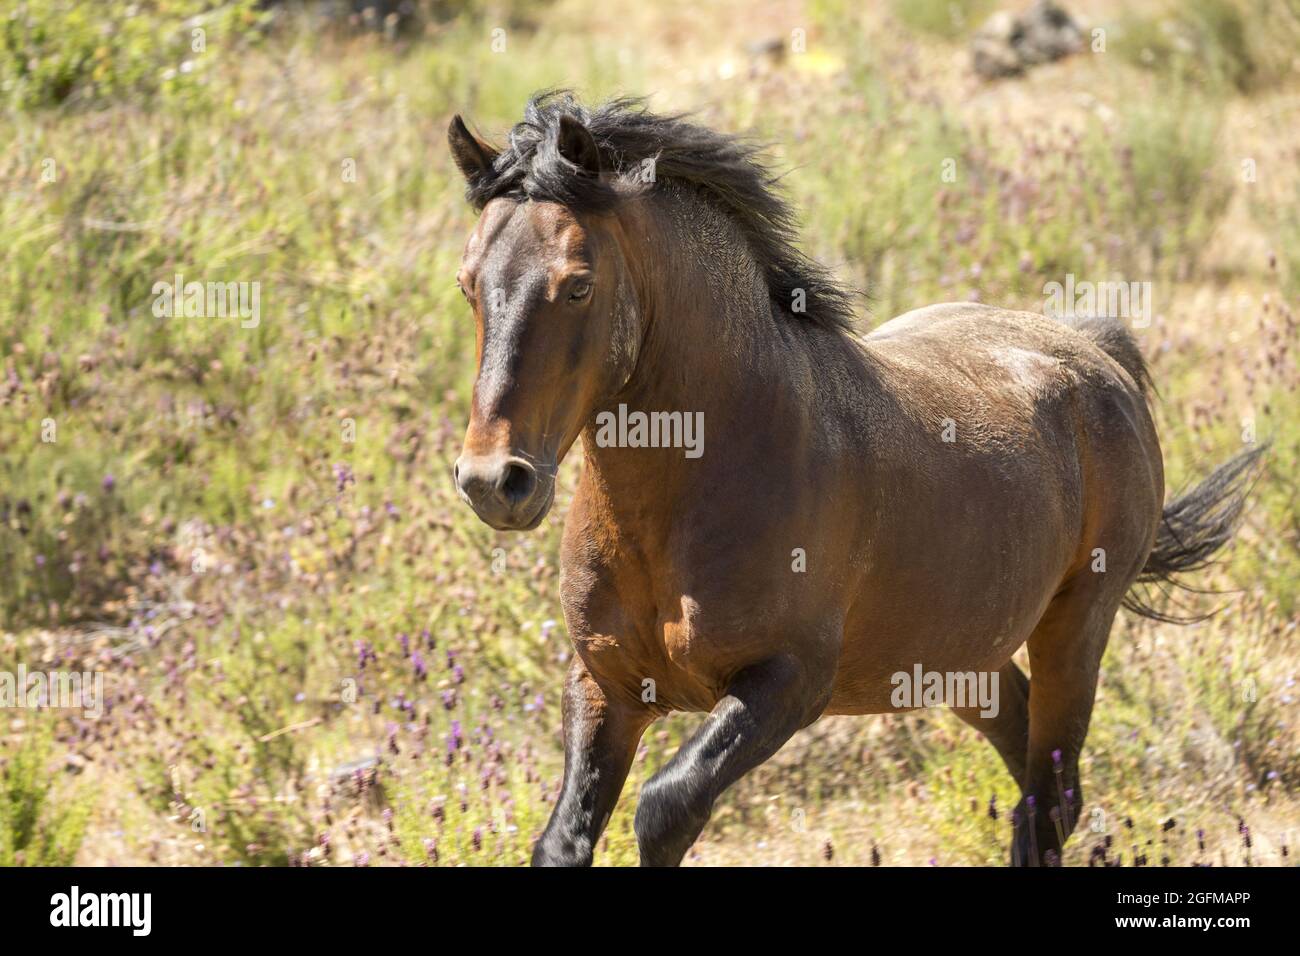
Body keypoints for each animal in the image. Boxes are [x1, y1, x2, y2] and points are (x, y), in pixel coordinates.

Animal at [446, 92, 1263, 866]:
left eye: (578, 286)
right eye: (467, 285)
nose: (494, 481)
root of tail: (1094, 353)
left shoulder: (789, 683)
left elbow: (667, 805)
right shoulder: (605, 685)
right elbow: (563, 840)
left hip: (1077, 626)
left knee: (1051, 798)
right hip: (957, 659)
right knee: (1030, 769)